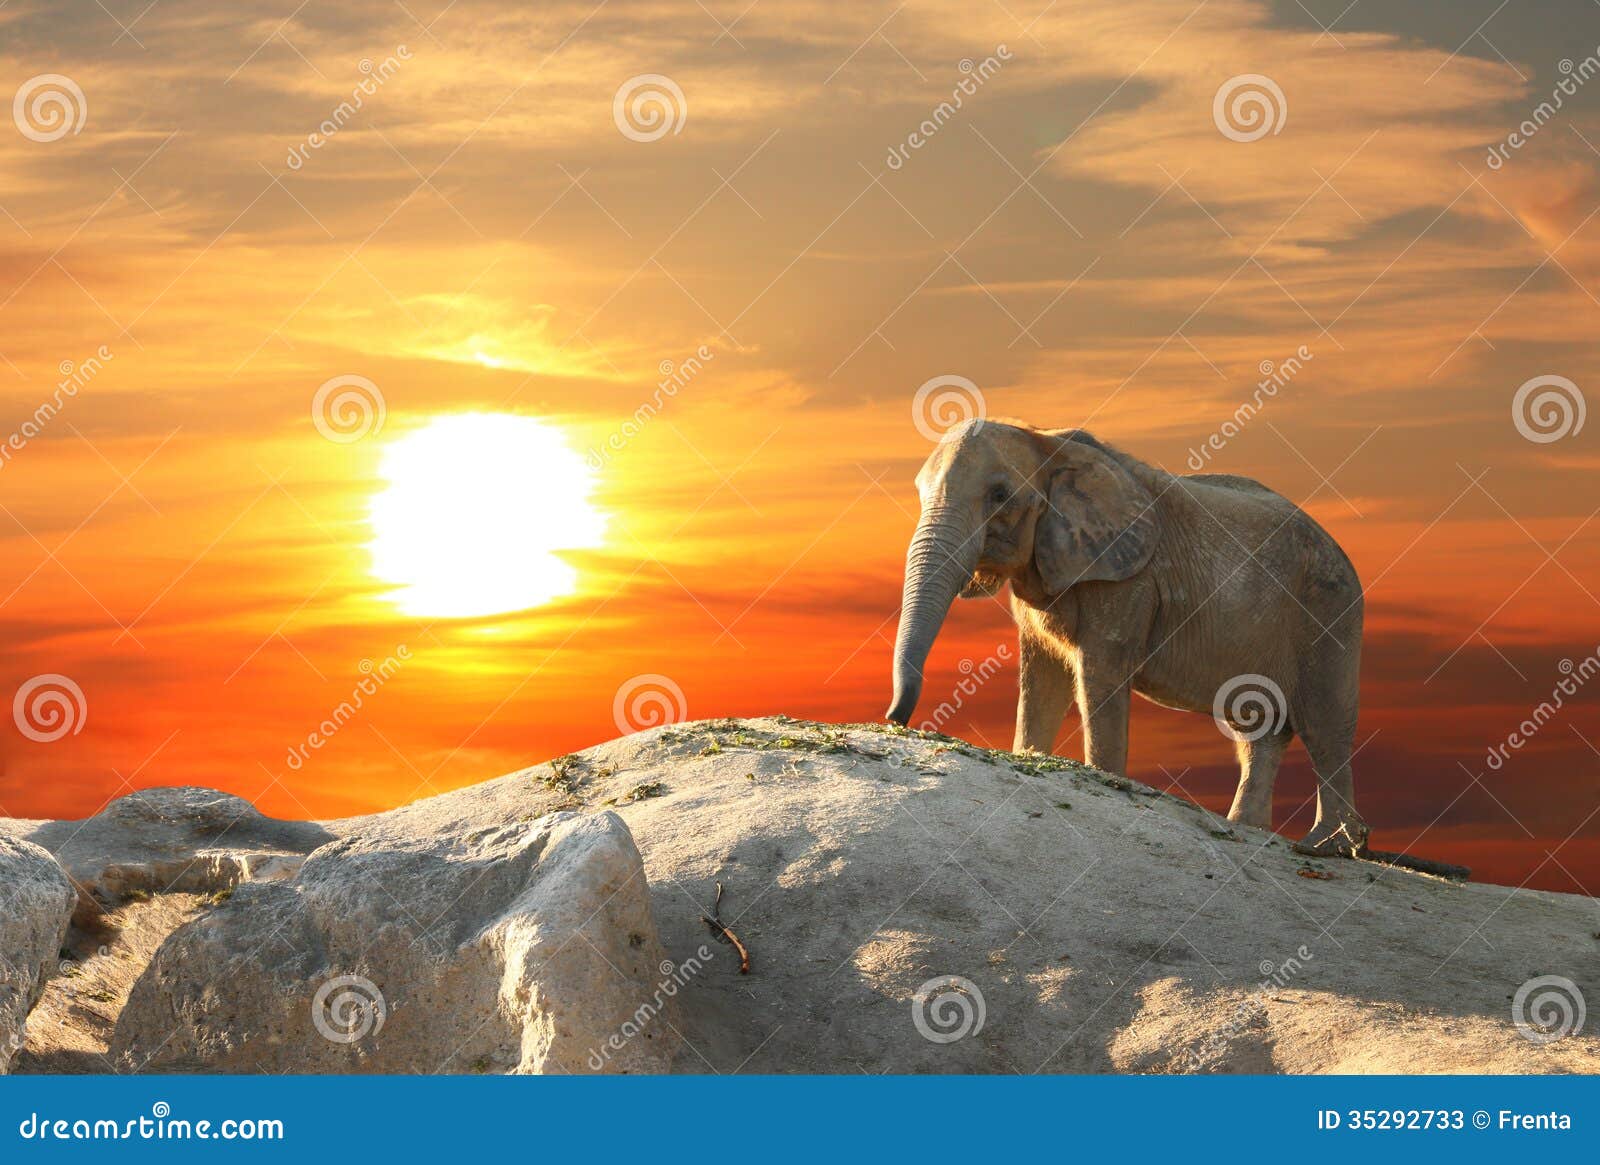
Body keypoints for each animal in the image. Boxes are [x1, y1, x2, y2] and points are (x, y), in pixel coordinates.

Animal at [885, 418, 1369, 858]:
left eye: (1000, 495)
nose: (895, 717)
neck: (1046, 442)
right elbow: (1041, 674)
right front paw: (1028, 754)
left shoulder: (1131, 577)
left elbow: (1099, 671)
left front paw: (1106, 778)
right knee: (1258, 727)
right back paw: (1248, 829)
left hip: (1331, 612)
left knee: (1325, 726)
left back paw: (1324, 847)